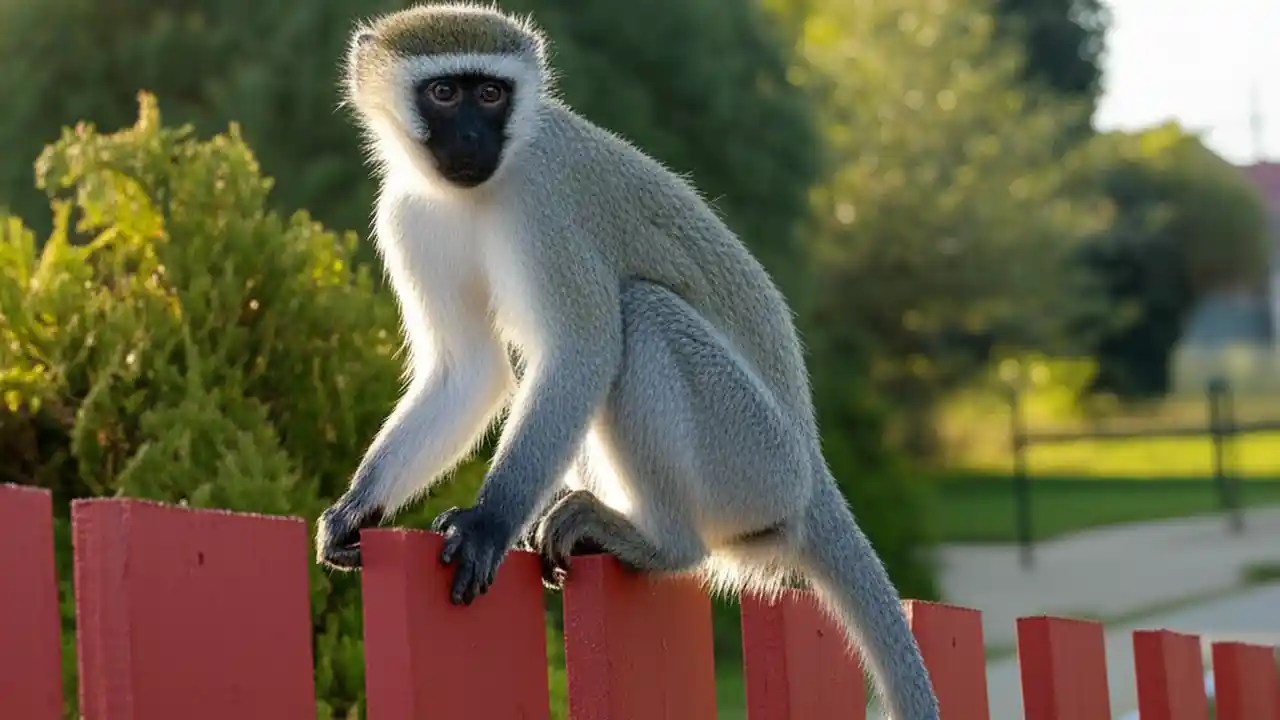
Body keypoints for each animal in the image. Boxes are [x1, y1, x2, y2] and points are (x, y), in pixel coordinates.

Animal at [314, 4, 939, 718]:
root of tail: (812, 478)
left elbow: (584, 348)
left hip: (756, 464)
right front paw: (357, 510)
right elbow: (467, 372)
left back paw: (660, 542)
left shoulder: (546, 205)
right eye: (445, 93)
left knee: (640, 316)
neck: (481, 189)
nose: (472, 136)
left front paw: (488, 521)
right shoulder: (407, 213)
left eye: (492, 93)